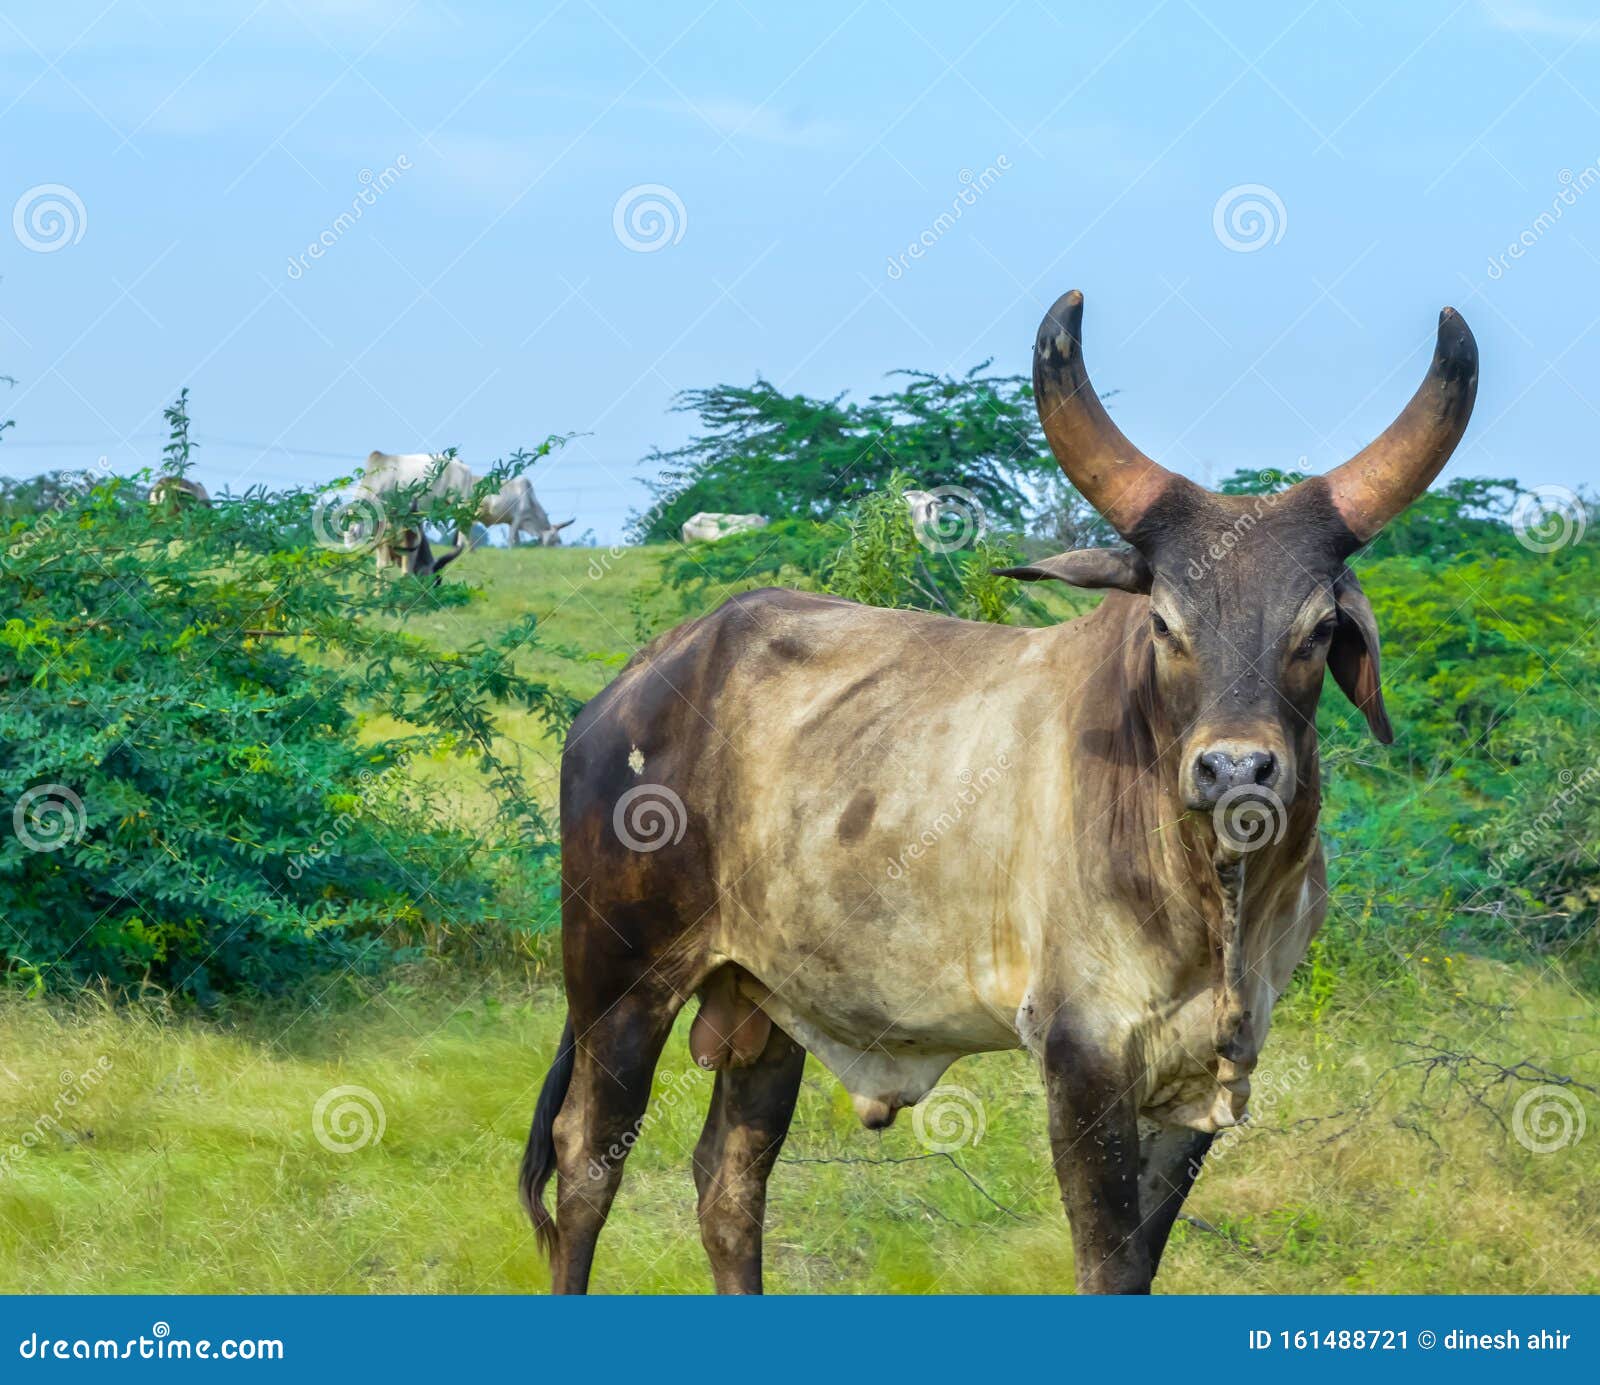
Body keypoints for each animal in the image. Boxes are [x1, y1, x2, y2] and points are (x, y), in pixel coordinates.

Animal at [520, 290, 1478, 1295]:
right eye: (1165, 622)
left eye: (1319, 626)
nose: (1236, 772)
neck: (1213, 899)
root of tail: (633, 681)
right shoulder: (1083, 1051)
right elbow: (1106, 1264)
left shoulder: (1206, 1073)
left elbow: (1140, 1264)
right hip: (619, 986)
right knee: (586, 1161)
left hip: (765, 1005)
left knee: (730, 1178)